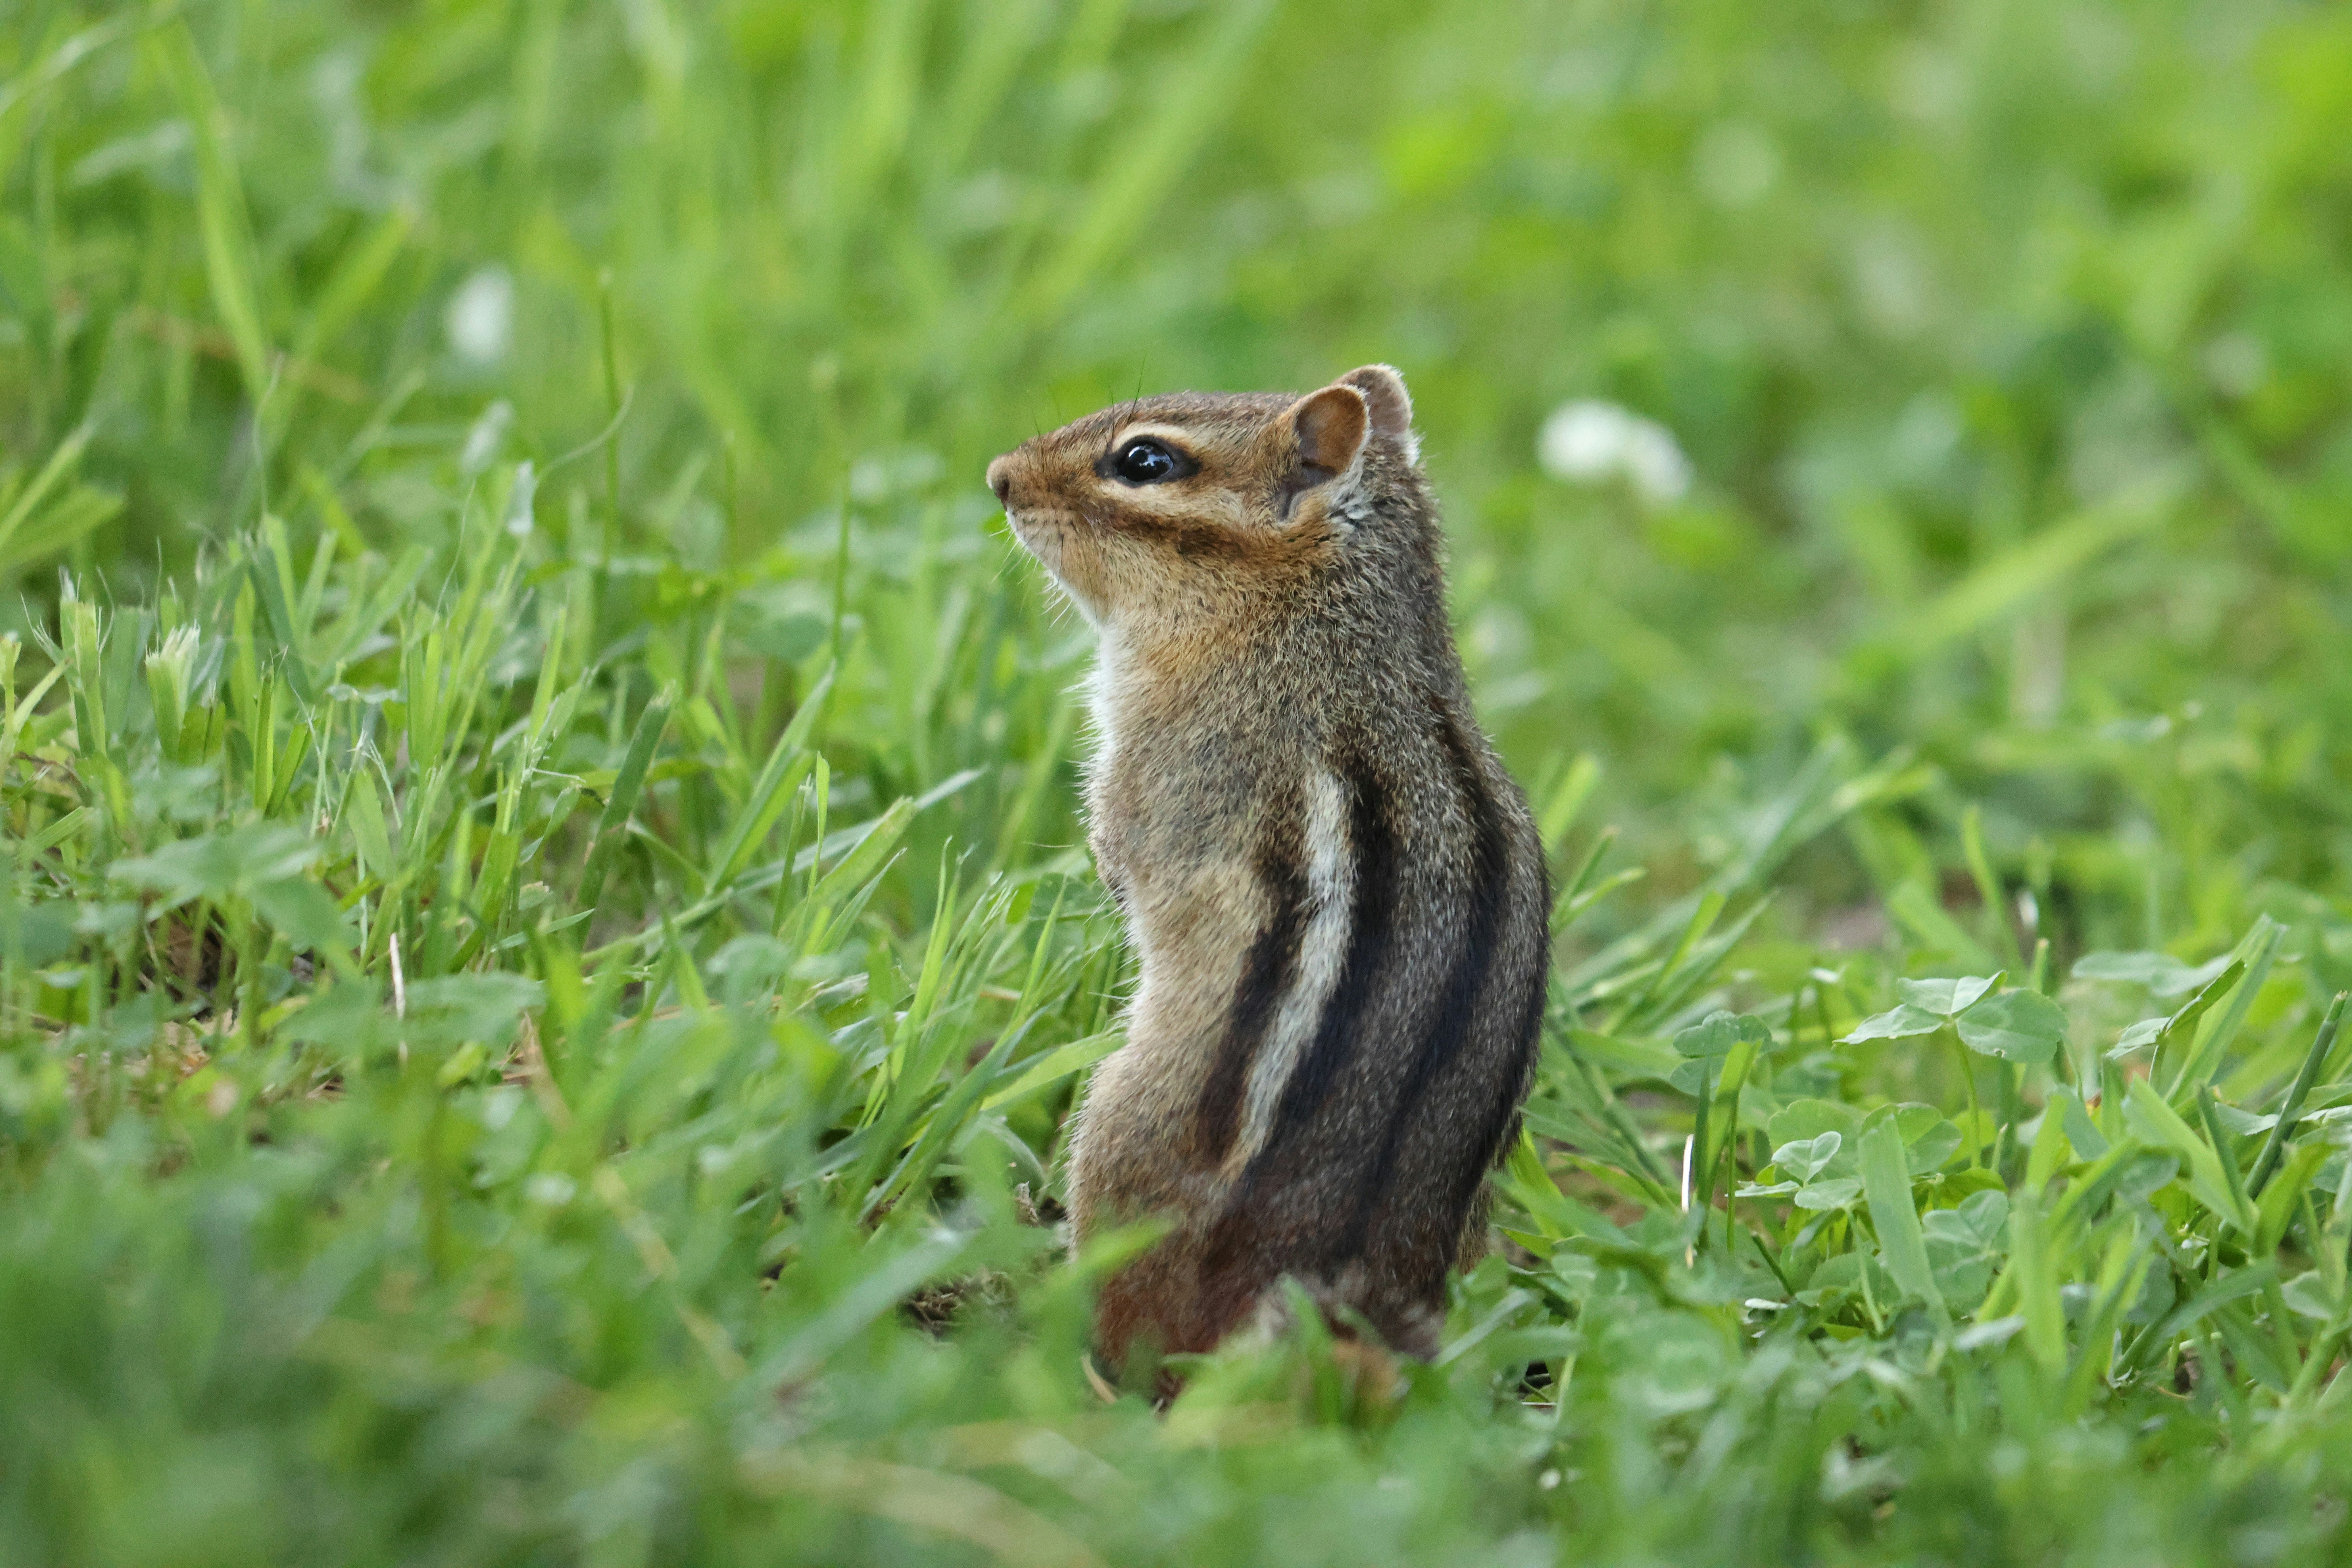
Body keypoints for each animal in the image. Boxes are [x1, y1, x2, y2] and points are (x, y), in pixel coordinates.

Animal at [986, 365, 1550, 1374]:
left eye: (1145, 461)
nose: (998, 478)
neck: (1308, 621)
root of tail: (1330, 1268)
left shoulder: (1155, 770)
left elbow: (1122, 849)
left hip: (1115, 1130)